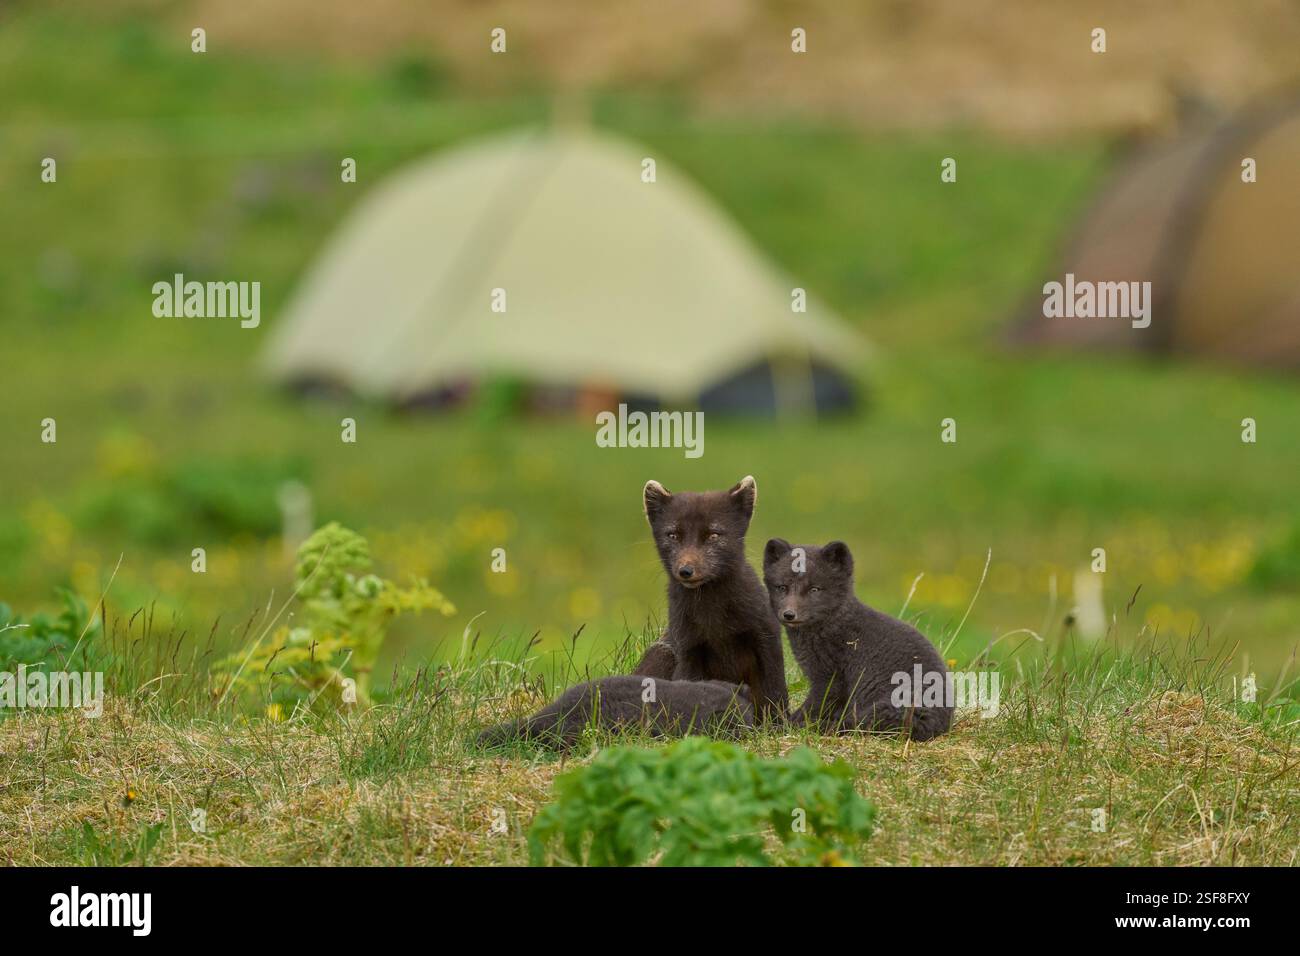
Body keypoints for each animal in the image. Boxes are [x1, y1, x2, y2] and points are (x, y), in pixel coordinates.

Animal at [631, 476, 788, 722]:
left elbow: (775, 692)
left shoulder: (766, 638)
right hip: (664, 651)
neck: (714, 620)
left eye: (713, 535)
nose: (686, 570)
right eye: (673, 535)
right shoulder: (688, 648)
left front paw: (778, 725)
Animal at [762, 539, 952, 741]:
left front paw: (785, 726)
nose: (789, 614)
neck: (834, 625)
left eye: (814, 589)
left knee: (846, 725)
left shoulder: (830, 680)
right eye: (782, 587)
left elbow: (811, 709)